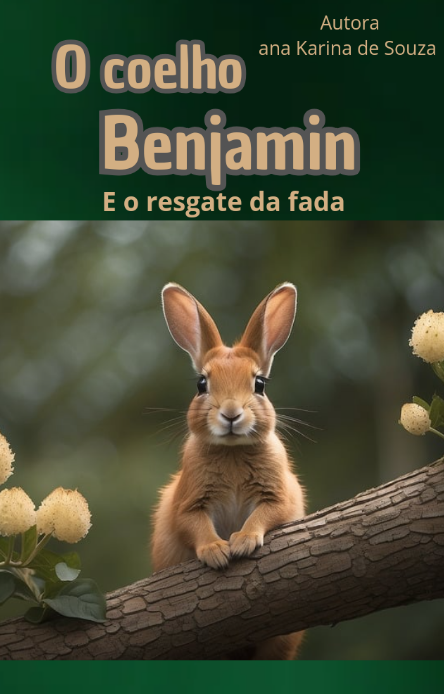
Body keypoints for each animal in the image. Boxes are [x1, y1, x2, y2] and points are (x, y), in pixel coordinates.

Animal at [151, 282, 306, 660]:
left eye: (260, 384)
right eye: (201, 384)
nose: (232, 414)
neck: (233, 452)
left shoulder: (279, 498)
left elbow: (266, 514)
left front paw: (243, 542)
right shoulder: (188, 503)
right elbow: (194, 524)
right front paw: (216, 551)